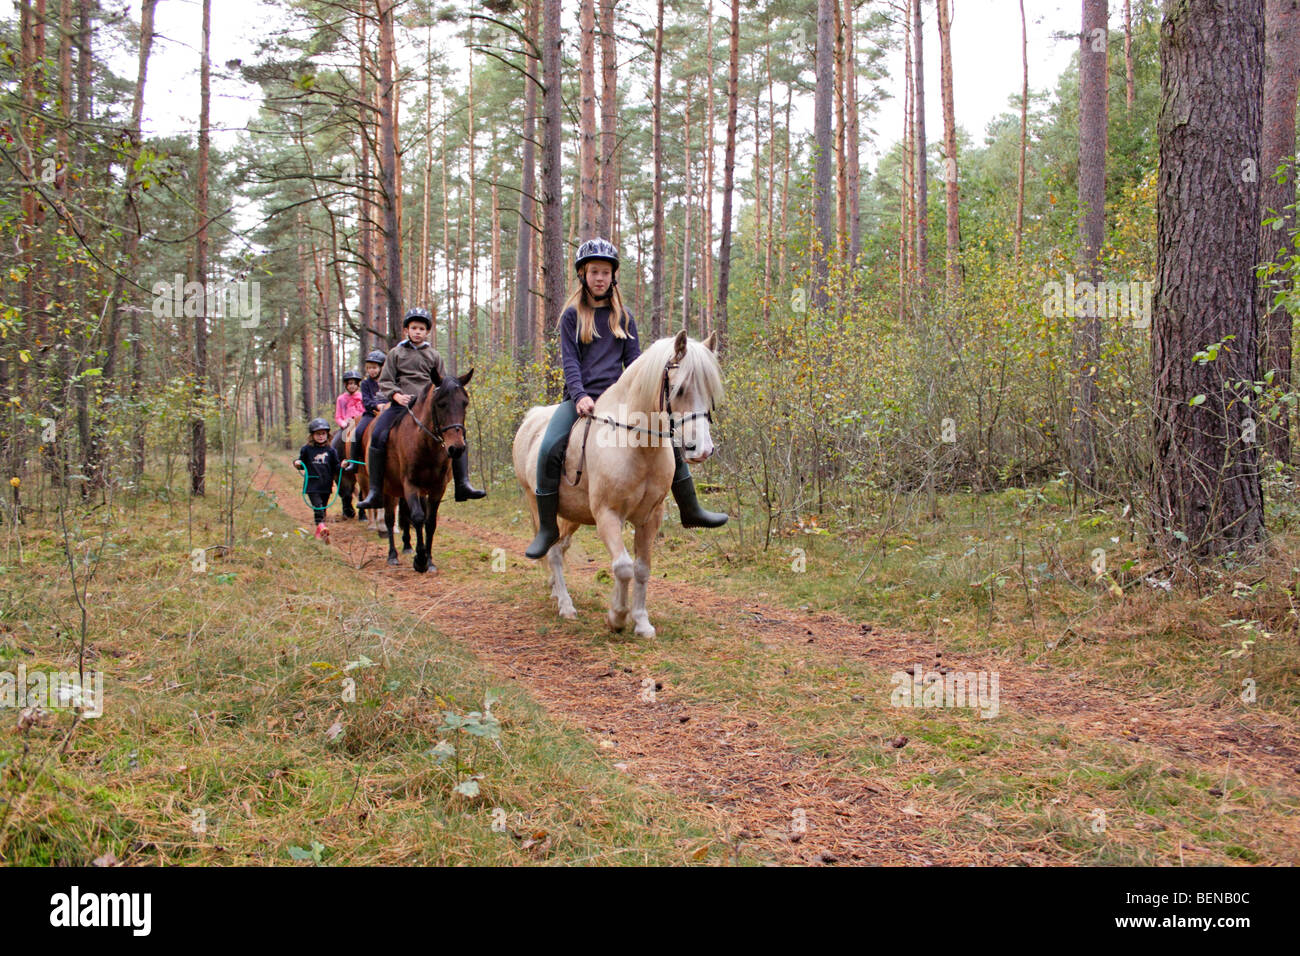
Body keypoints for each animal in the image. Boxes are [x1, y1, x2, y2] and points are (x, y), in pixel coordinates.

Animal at [360, 368, 473, 572]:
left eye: (465, 403)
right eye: (441, 404)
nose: (457, 448)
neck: (426, 446)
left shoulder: (437, 488)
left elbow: (429, 522)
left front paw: (429, 560)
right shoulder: (410, 484)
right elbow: (419, 517)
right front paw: (420, 561)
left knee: (406, 515)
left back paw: (407, 545)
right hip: (388, 488)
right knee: (390, 518)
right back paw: (392, 555)